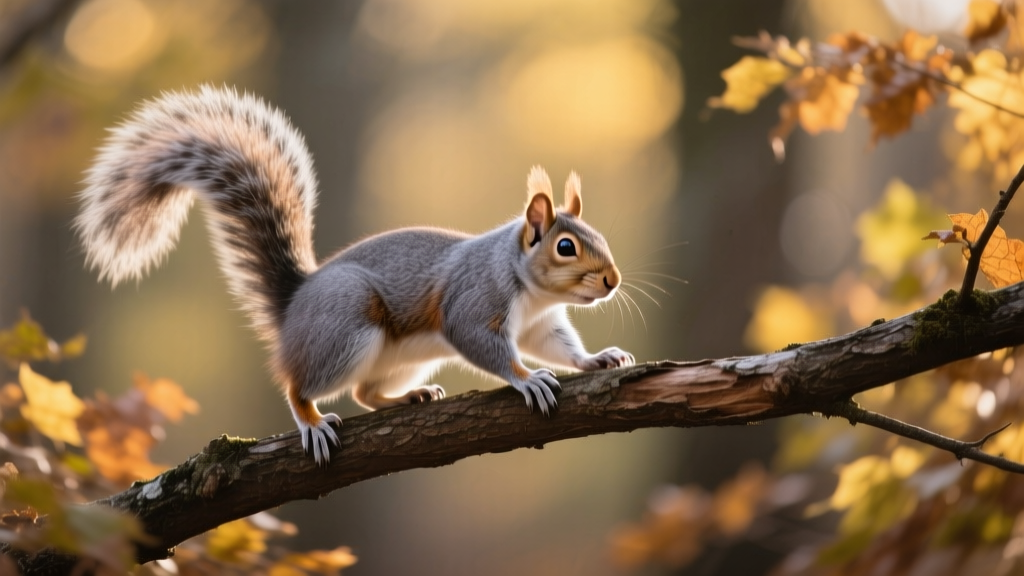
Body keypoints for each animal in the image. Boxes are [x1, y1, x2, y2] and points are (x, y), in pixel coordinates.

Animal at [75, 86, 634, 465]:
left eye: (595, 235)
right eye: (565, 247)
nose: (613, 281)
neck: (529, 289)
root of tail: (294, 306)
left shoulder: (540, 324)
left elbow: (558, 346)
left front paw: (596, 359)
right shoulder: (475, 301)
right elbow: (484, 343)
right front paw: (527, 378)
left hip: (401, 358)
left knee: (366, 393)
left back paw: (409, 396)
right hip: (346, 329)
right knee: (299, 384)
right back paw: (312, 420)